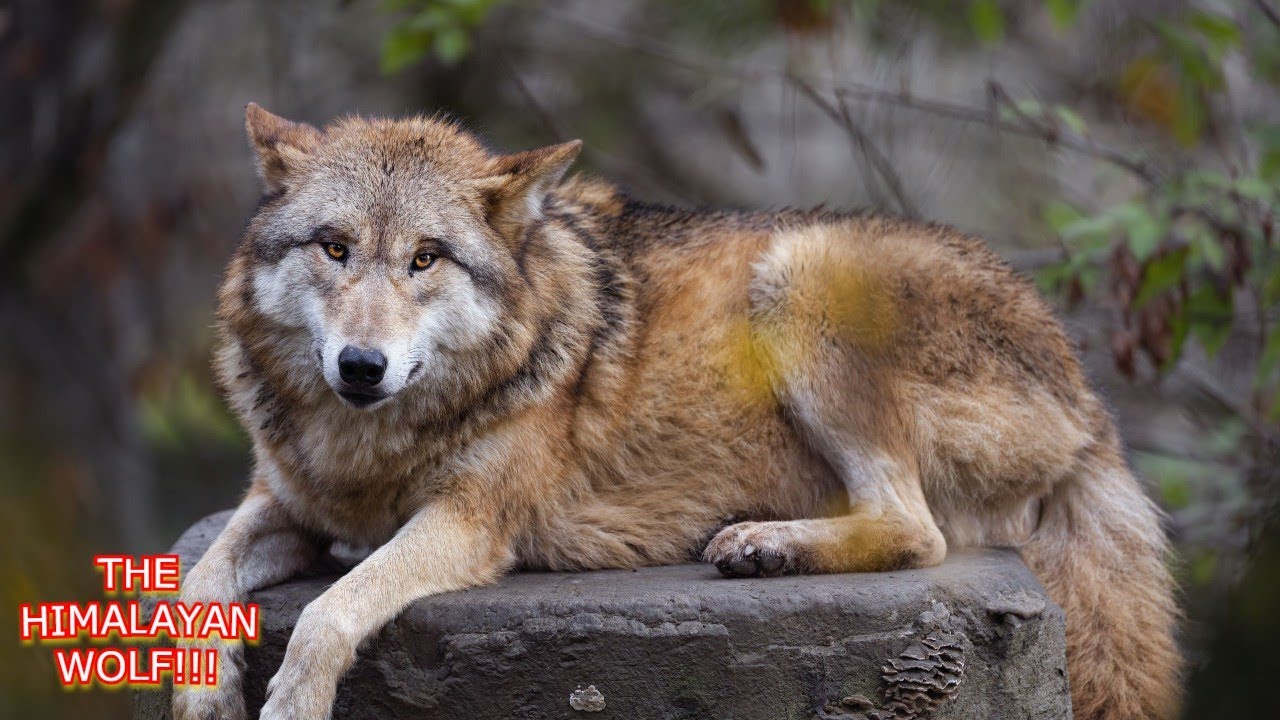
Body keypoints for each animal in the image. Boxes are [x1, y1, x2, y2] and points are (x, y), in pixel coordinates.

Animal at [173, 103, 1180, 720]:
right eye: (335, 248)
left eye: (425, 258)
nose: (361, 365)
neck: (370, 444)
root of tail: (1087, 397)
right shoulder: (286, 503)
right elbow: (196, 586)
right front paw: (202, 693)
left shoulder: (469, 522)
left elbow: (330, 612)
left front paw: (289, 702)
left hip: (799, 275)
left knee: (918, 532)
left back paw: (763, 545)